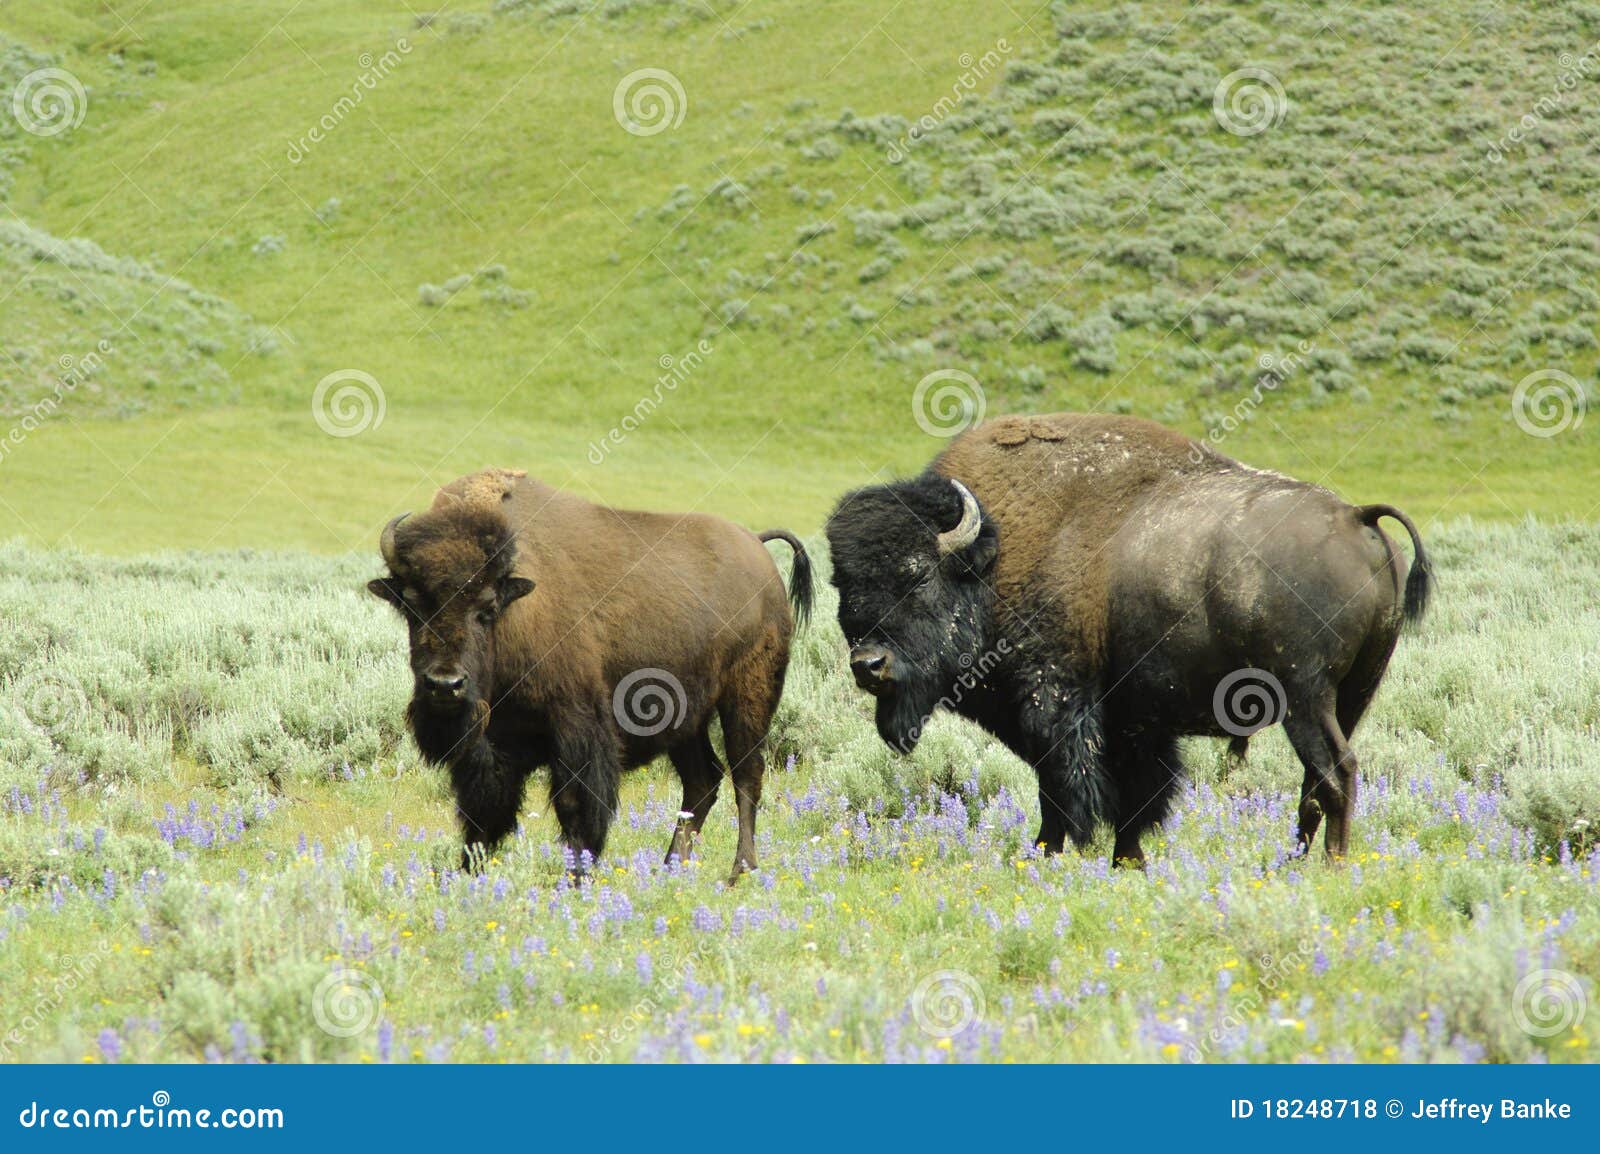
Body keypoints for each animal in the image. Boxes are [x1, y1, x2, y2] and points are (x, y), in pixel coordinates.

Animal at [368, 468, 812, 881]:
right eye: (411, 606)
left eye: (487, 607)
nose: (445, 685)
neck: (518, 608)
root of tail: (756, 545)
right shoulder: (490, 746)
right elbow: (482, 811)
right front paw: (468, 875)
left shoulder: (576, 729)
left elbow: (573, 806)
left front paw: (577, 876)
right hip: (687, 717)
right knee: (702, 782)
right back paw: (669, 868)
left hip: (748, 696)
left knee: (746, 776)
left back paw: (740, 870)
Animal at [825, 413, 1431, 865]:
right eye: (842, 586)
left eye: (918, 576)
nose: (869, 664)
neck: (994, 556)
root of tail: (1356, 517)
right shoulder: (1134, 720)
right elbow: (1138, 796)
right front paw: (1127, 860)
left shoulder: (1055, 703)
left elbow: (1062, 790)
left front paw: (1045, 854)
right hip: (1352, 694)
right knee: (1319, 778)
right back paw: (1293, 861)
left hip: (1305, 696)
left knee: (1334, 772)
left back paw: (1329, 865)